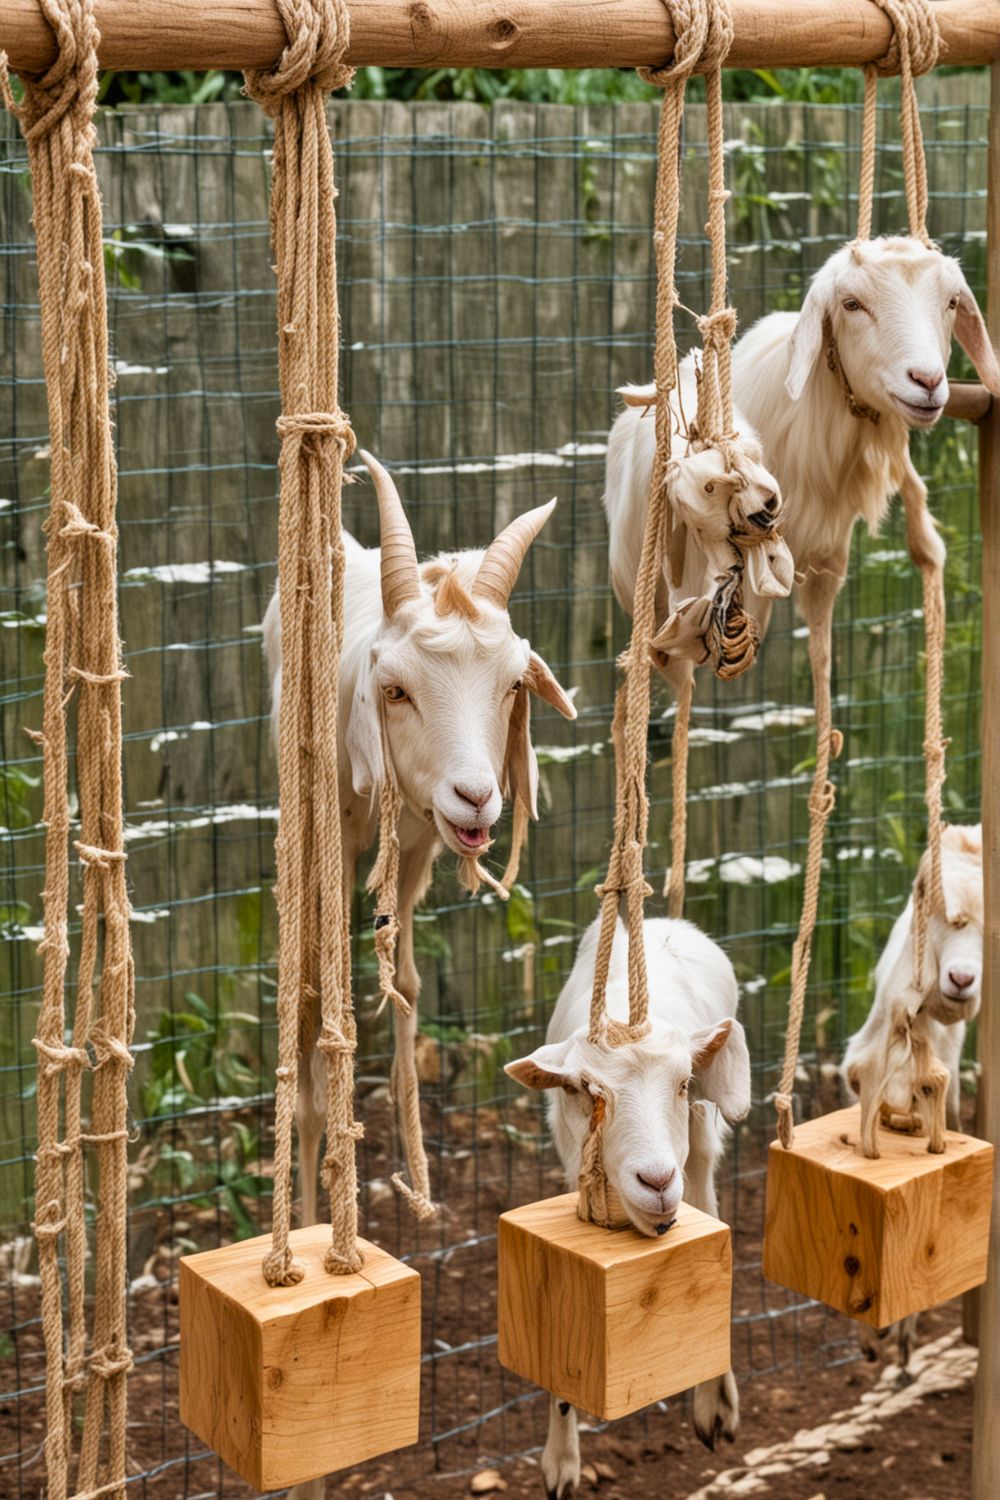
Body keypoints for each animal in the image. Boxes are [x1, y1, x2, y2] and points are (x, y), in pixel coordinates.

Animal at [506, 915, 751, 1496]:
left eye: (684, 1083)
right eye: (583, 1089)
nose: (656, 1180)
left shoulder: (695, 1151)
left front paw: (715, 1403)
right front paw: (560, 1462)